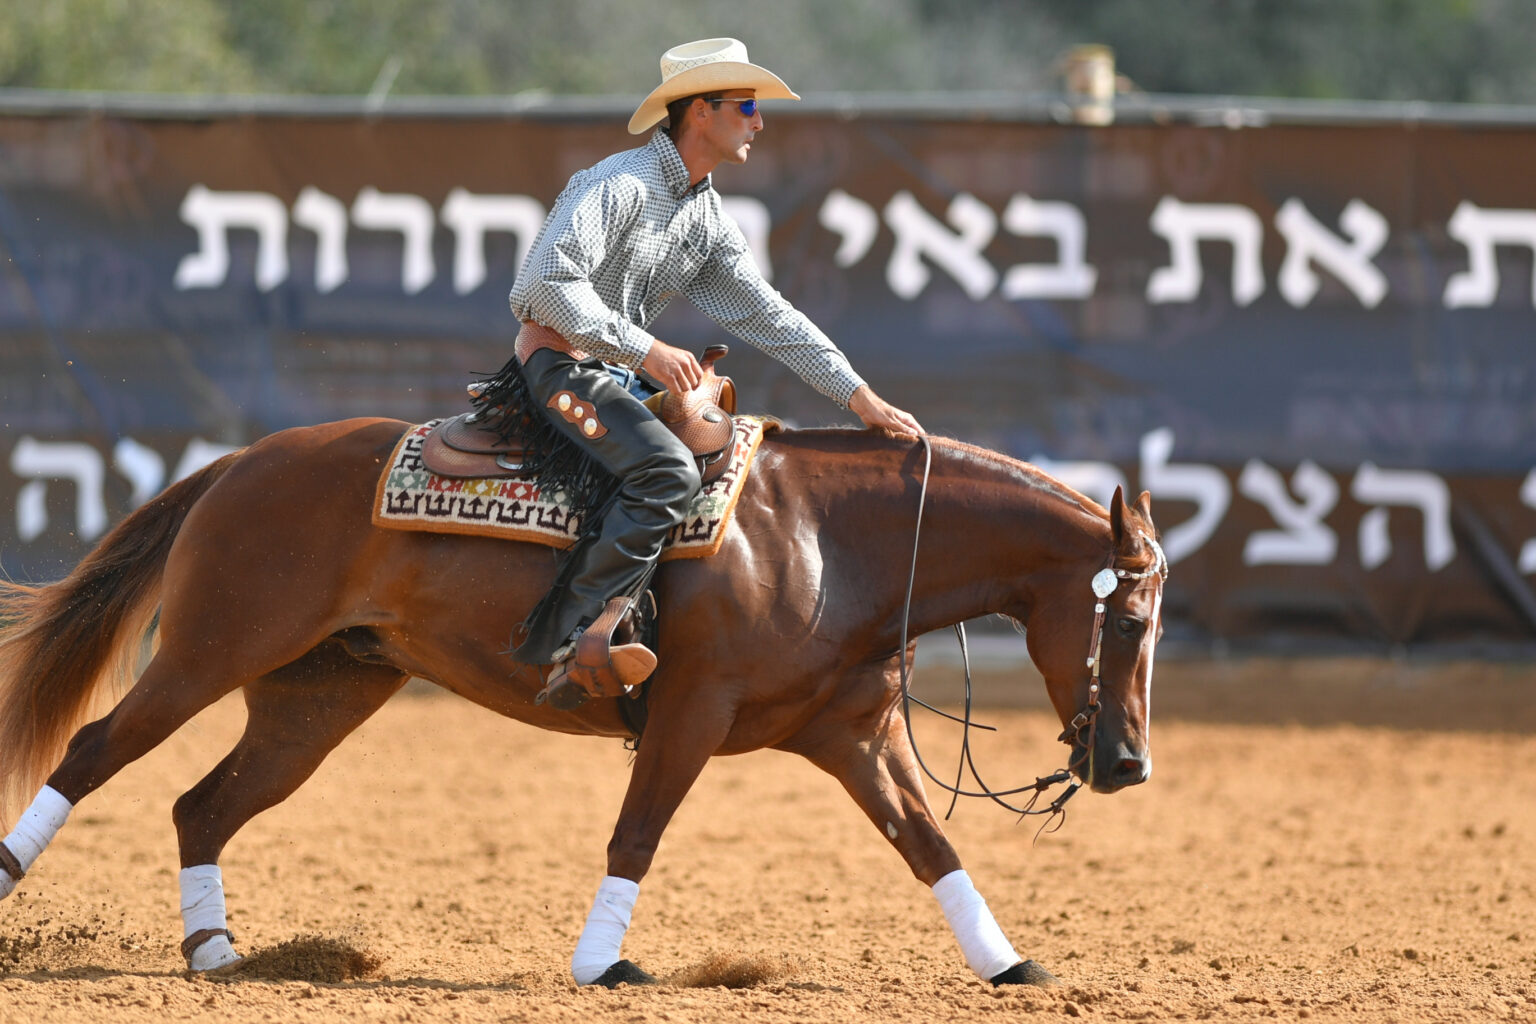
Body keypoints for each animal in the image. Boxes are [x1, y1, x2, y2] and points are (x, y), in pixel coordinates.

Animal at [0, 415, 1166, 987]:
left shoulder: (855, 738)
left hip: (317, 699)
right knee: (94, 752)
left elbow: (931, 846)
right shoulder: (690, 714)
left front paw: (1010, 964)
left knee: (201, 804)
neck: (828, 541)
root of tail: (241, 461)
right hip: (206, 653)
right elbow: (636, 836)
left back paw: (218, 954)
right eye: (1128, 623)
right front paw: (601, 963)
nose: (1128, 765)